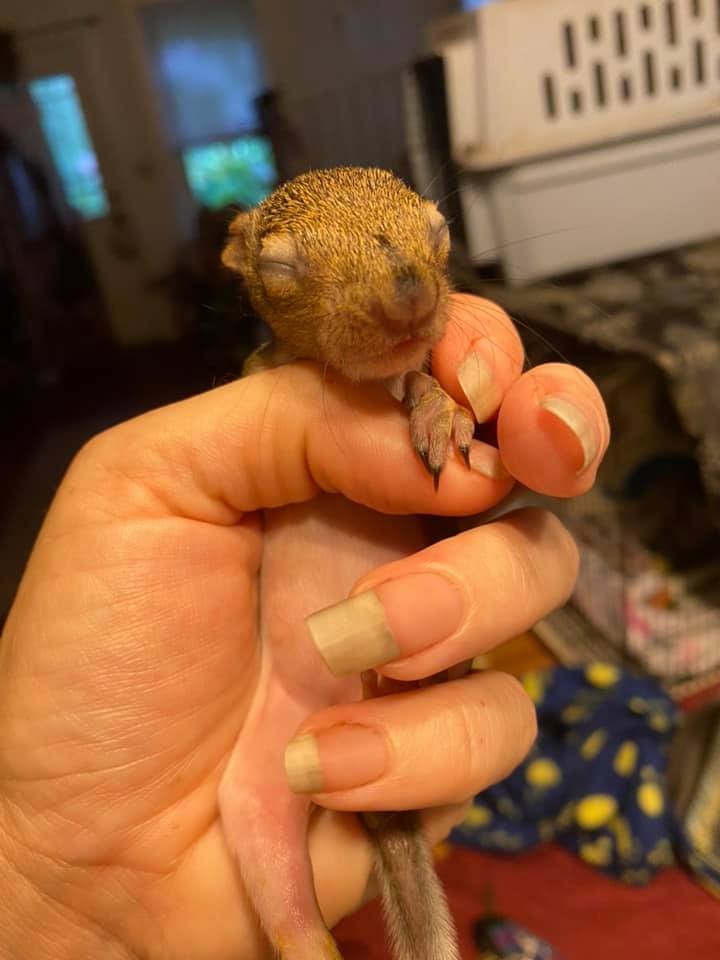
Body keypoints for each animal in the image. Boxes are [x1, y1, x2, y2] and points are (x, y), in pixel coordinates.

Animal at [220, 167, 470, 960]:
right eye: (276, 265)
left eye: (439, 232)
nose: (409, 296)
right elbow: (260, 371)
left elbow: (422, 387)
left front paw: (438, 407)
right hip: (258, 792)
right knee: (289, 910)